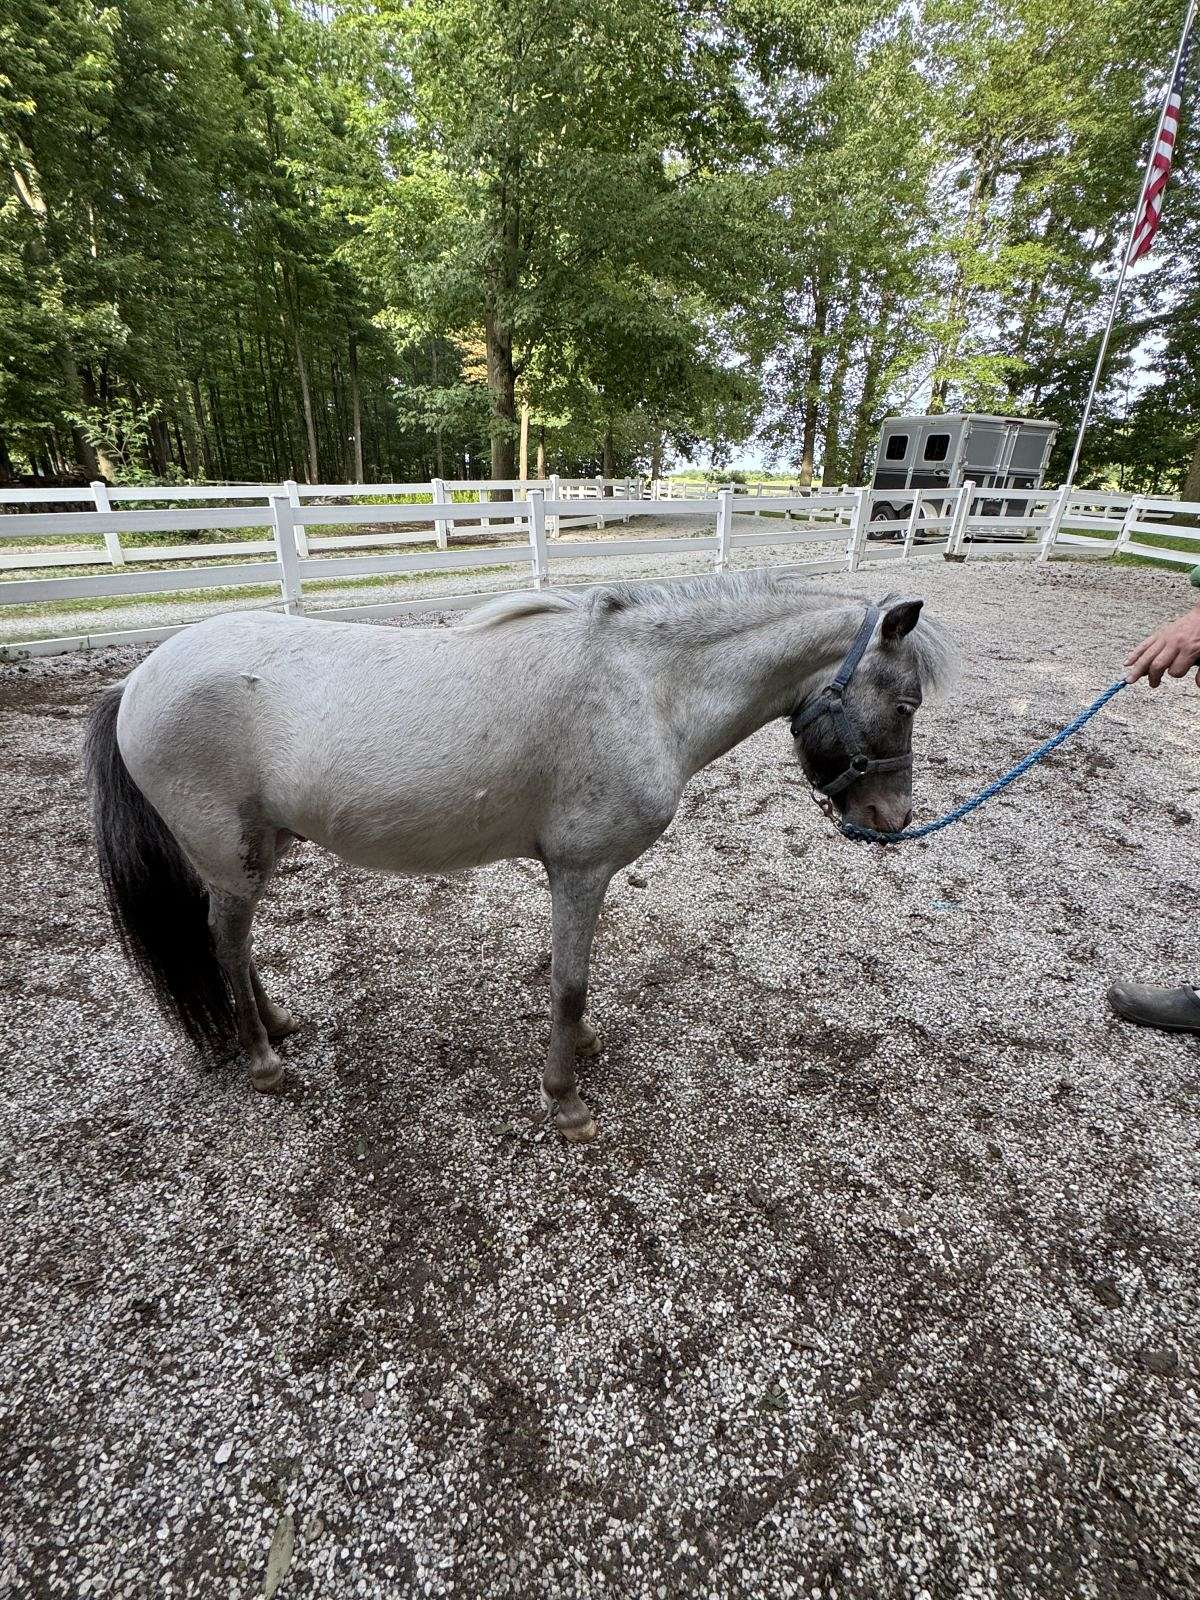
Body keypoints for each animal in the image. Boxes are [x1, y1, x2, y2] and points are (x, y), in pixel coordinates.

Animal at [83, 571, 955, 1143]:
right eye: (905, 703)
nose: (892, 819)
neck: (642, 688)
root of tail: (137, 681)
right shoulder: (580, 871)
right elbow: (569, 983)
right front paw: (566, 1102)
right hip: (229, 856)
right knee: (226, 944)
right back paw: (265, 1060)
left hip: (253, 852)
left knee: (232, 944)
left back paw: (274, 1024)